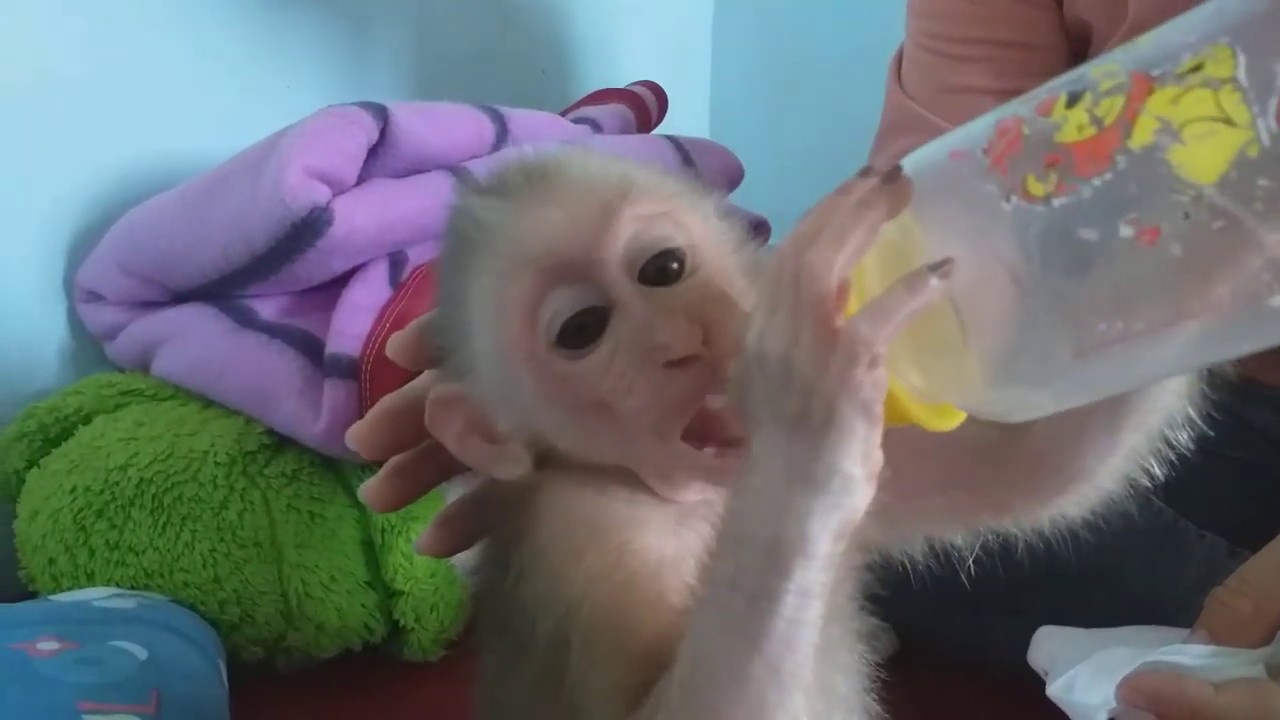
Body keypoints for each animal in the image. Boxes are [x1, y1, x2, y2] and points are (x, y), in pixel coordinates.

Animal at [422, 149, 1205, 718]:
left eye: (663, 269)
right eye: (582, 329)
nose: (676, 344)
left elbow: (1029, 465)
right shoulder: (587, 539)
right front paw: (805, 421)